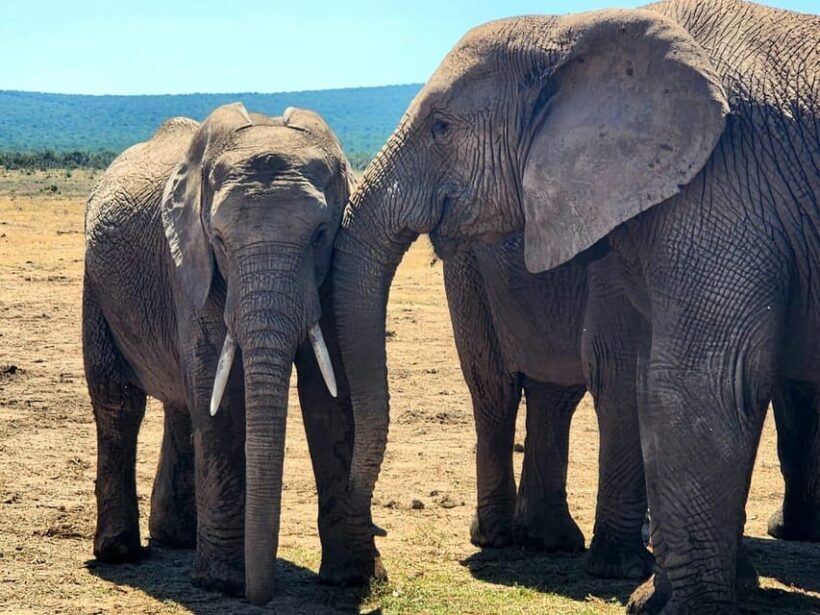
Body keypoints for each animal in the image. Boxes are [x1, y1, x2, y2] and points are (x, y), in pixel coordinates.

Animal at [83, 103, 382, 605]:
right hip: (95, 286)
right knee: (119, 405)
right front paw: (223, 583)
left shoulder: (334, 270)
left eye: (321, 235)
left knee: (181, 403)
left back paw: (176, 539)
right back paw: (120, 553)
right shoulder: (191, 263)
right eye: (219, 239)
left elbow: (331, 397)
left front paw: (353, 579)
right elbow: (221, 403)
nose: (261, 596)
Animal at [446, 234, 653, 579]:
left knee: (555, 394)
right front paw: (627, 570)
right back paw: (497, 537)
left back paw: (549, 541)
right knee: (495, 388)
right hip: (468, 269)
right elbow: (620, 373)